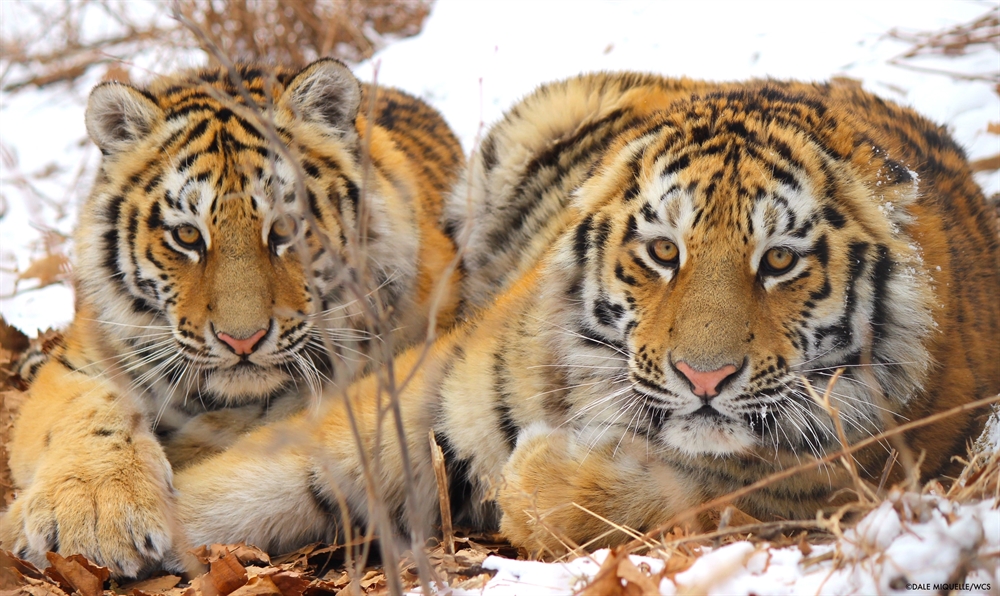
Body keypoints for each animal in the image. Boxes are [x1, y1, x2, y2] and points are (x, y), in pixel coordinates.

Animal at [0, 58, 469, 577]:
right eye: (187, 235)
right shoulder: (81, 361)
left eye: (284, 228)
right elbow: (87, 409)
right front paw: (94, 514)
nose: (242, 341)